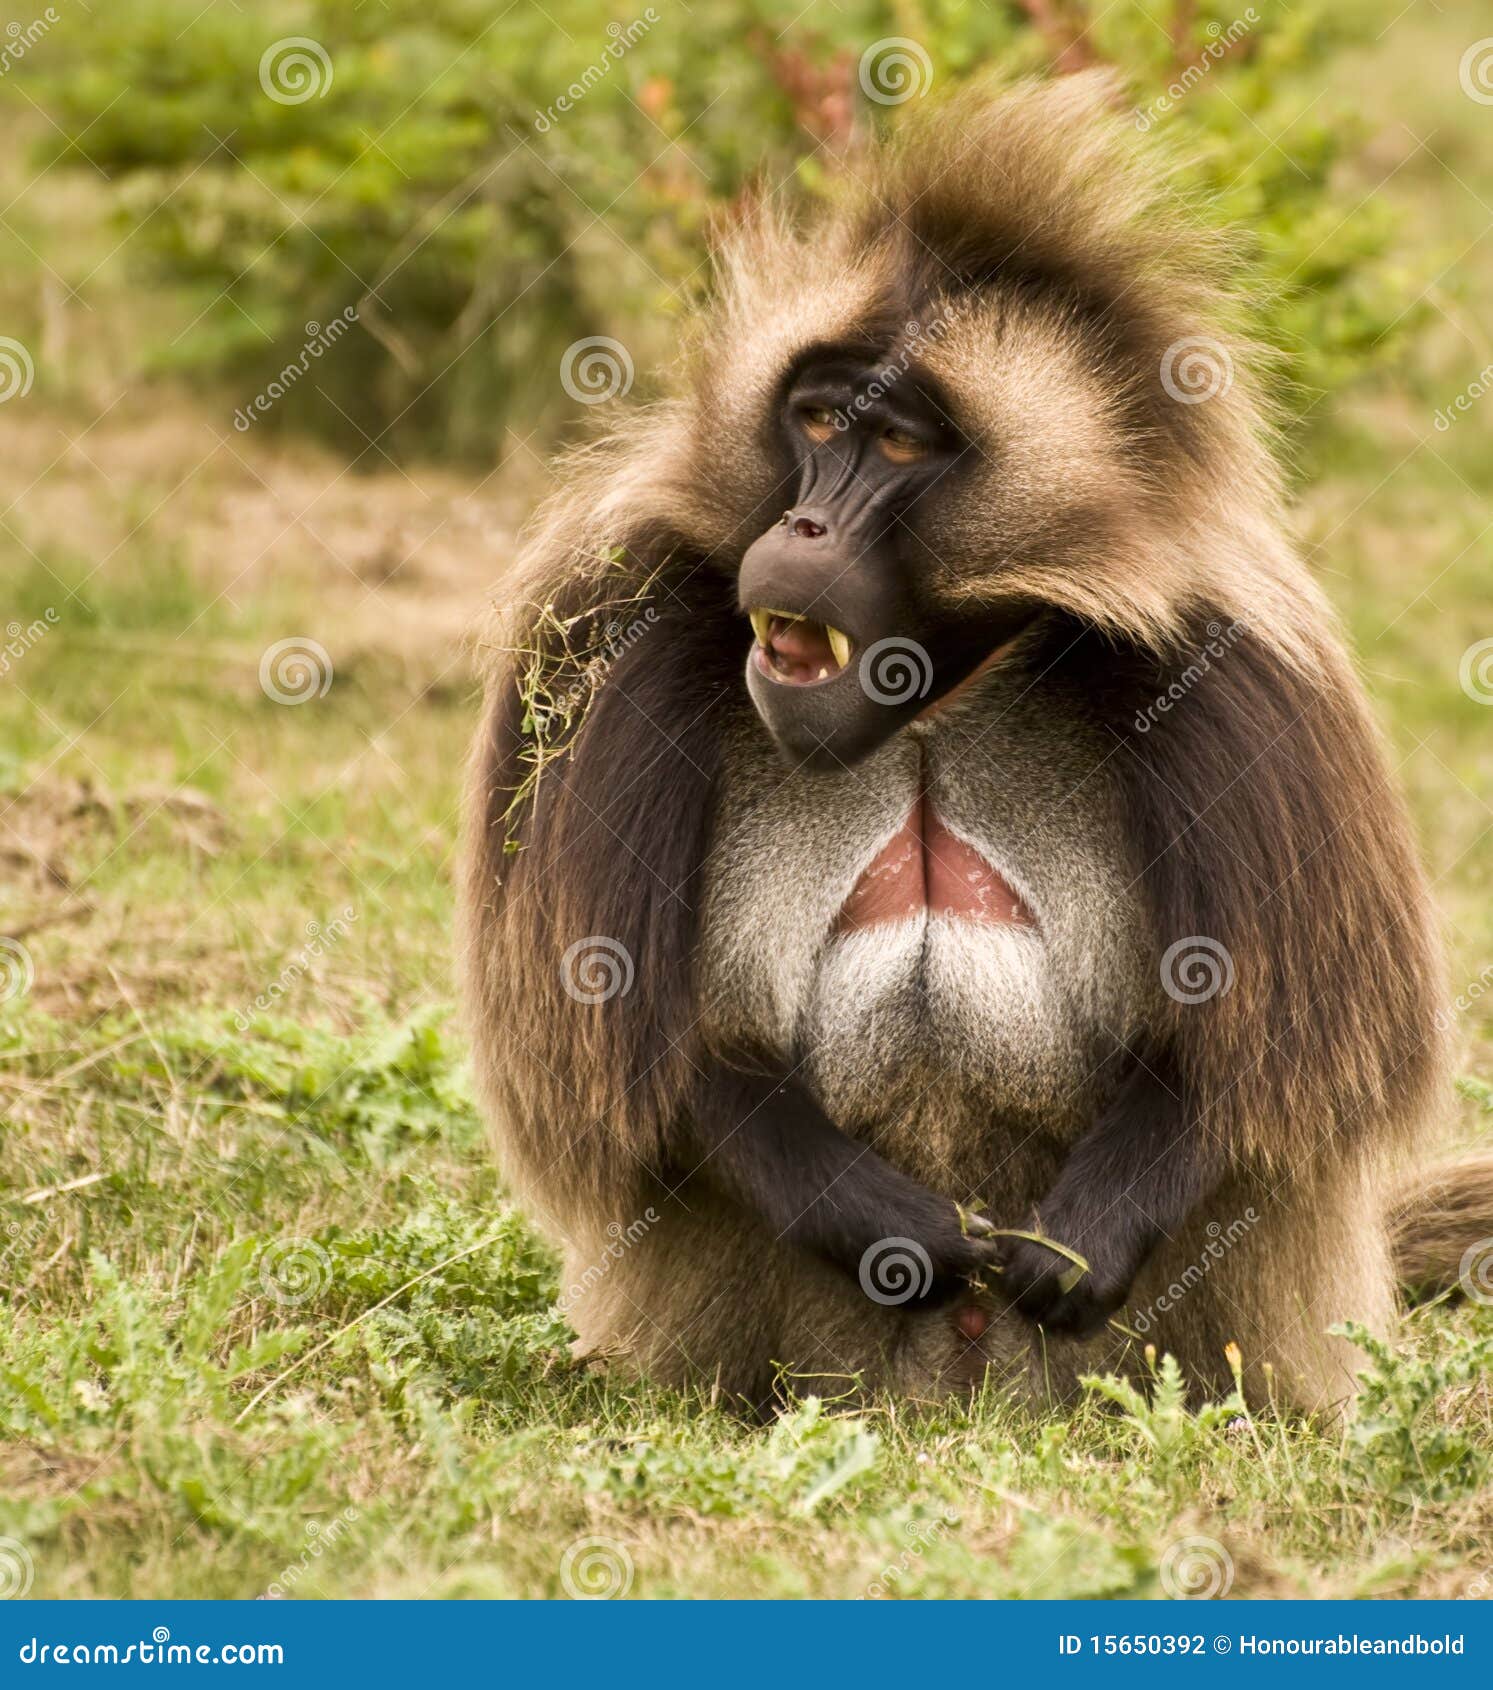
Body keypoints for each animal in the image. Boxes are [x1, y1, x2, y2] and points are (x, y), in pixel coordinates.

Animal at [460, 73, 1493, 1419]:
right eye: (813, 420)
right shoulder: (598, 629)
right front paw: (898, 1231)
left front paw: (1077, 1243)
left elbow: (1296, 1056)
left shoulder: (1242, 670)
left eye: (897, 444)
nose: (802, 528)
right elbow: (610, 1059)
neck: (935, 688)